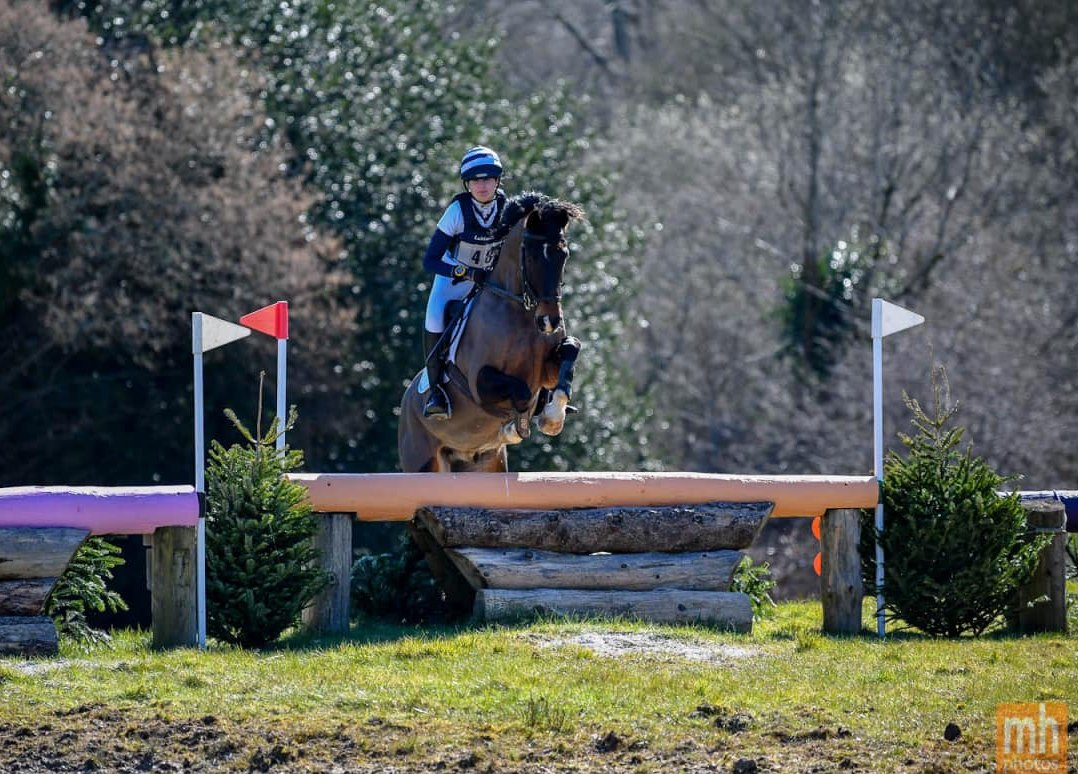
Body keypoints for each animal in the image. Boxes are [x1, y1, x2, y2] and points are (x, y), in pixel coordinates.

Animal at [398, 192, 585, 474]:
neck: (521, 314)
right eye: (531, 257)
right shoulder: (480, 383)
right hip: (423, 463)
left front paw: (551, 418)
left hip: (485, 464)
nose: (550, 321)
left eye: (564, 255)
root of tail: (406, 402)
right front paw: (516, 427)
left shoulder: (548, 369)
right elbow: (521, 393)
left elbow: (570, 351)